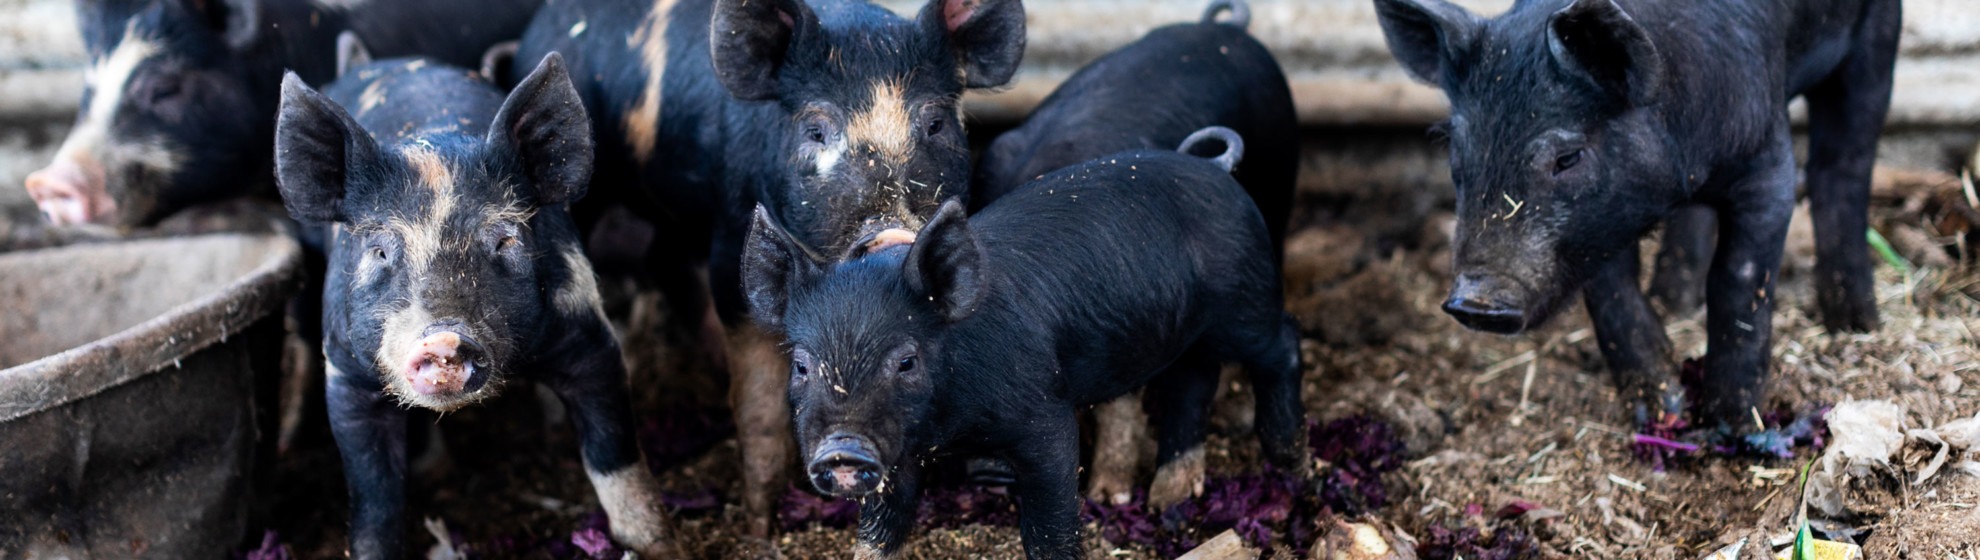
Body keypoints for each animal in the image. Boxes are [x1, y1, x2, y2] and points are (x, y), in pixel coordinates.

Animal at [271, 53, 679, 558]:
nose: (444, 338)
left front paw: (657, 545)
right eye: (380, 251)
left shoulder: (589, 338)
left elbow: (617, 460)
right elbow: (375, 502)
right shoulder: (347, 377)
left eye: (504, 241)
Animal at [511, 0, 1027, 533]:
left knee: (663, 258)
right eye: (816, 131)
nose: (894, 239)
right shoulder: (733, 241)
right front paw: (760, 526)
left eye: (936, 125)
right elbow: (758, 406)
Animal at [743, 127, 1309, 559]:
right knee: (1193, 377)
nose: (842, 449)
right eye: (801, 365)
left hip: (1246, 297)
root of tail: (1214, 166)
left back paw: (1290, 460)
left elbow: (1051, 526)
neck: (950, 429)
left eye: (905, 361)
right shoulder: (897, 451)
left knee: (1283, 344)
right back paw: (1166, 497)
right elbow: (879, 533)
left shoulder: (1046, 414)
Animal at [1374, 0, 1897, 429]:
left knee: (1843, 166)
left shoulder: (1768, 165)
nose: (1476, 301)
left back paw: (1856, 324)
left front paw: (1731, 423)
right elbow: (1611, 290)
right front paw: (1662, 406)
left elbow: (1739, 279)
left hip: (1874, 40)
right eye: (1456, 152)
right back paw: (1673, 302)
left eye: (1568, 158)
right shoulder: (1600, 221)